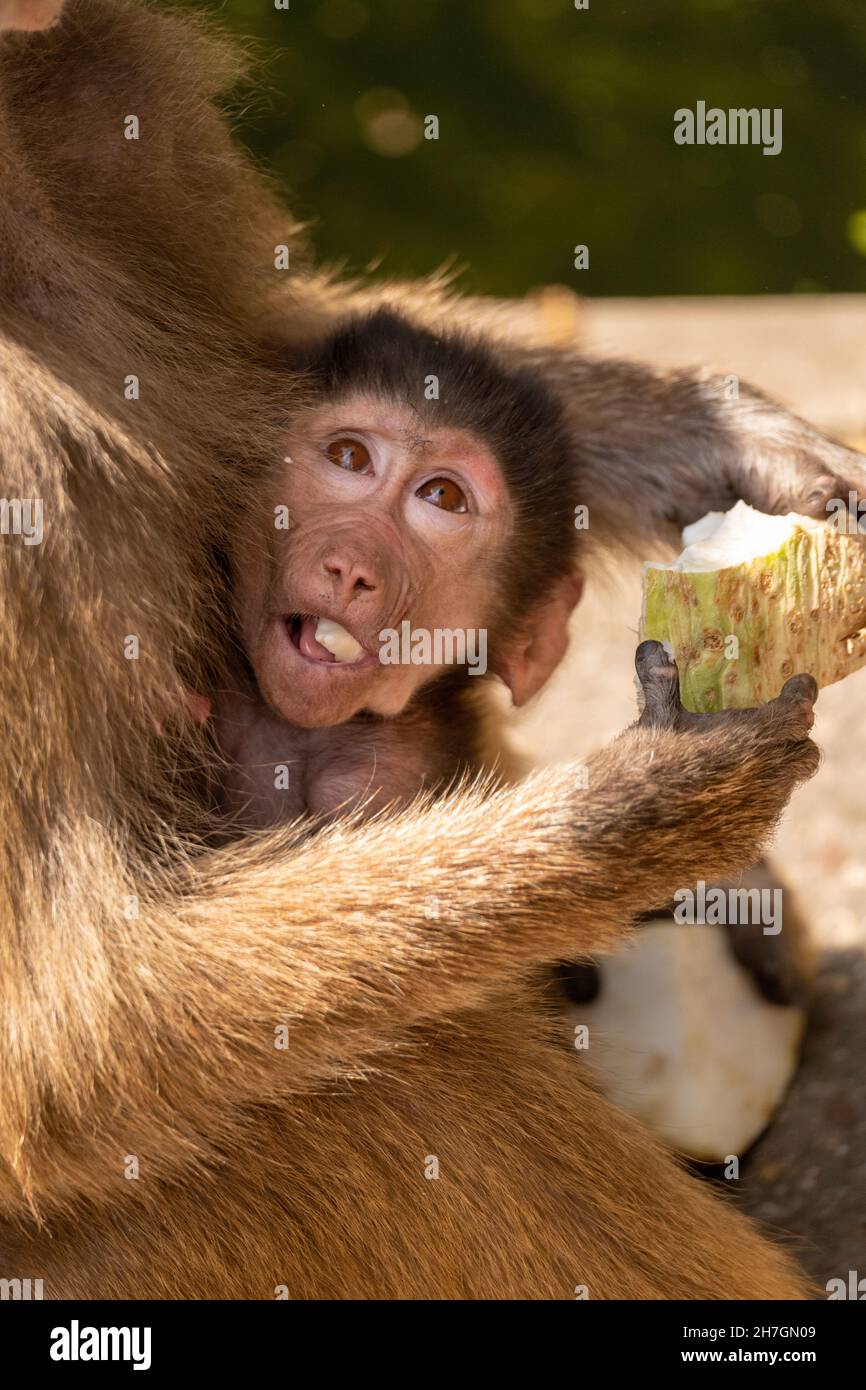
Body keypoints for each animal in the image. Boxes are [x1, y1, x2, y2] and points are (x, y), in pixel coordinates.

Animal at [2, 0, 865, 1299]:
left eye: (442, 500)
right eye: (348, 461)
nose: (350, 563)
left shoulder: (107, 91)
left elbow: (273, 343)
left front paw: (703, 437)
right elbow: (64, 1042)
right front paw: (638, 809)